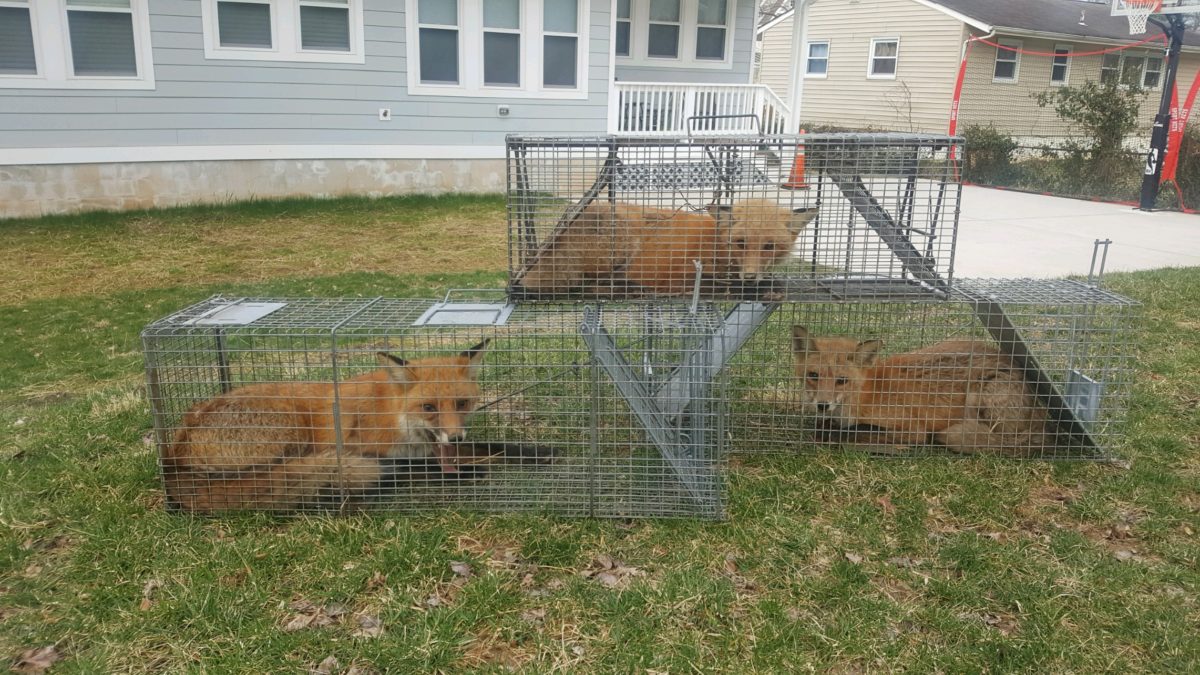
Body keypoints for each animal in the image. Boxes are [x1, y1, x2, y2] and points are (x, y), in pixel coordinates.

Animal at [163, 340, 499, 513]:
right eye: (429, 408)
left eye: (462, 404)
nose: (455, 438)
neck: (393, 417)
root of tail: (172, 462)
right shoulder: (363, 449)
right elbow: (417, 468)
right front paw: (463, 472)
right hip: (293, 429)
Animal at [517, 198, 816, 295]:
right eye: (741, 243)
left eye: (769, 246)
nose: (751, 277)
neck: (716, 245)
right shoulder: (680, 275)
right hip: (623, 241)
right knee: (592, 285)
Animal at [791, 327, 1052, 455]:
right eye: (813, 376)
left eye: (841, 381)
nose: (822, 405)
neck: (866, 392)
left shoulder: (912, 429)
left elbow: (853, 432)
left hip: (978, 397)